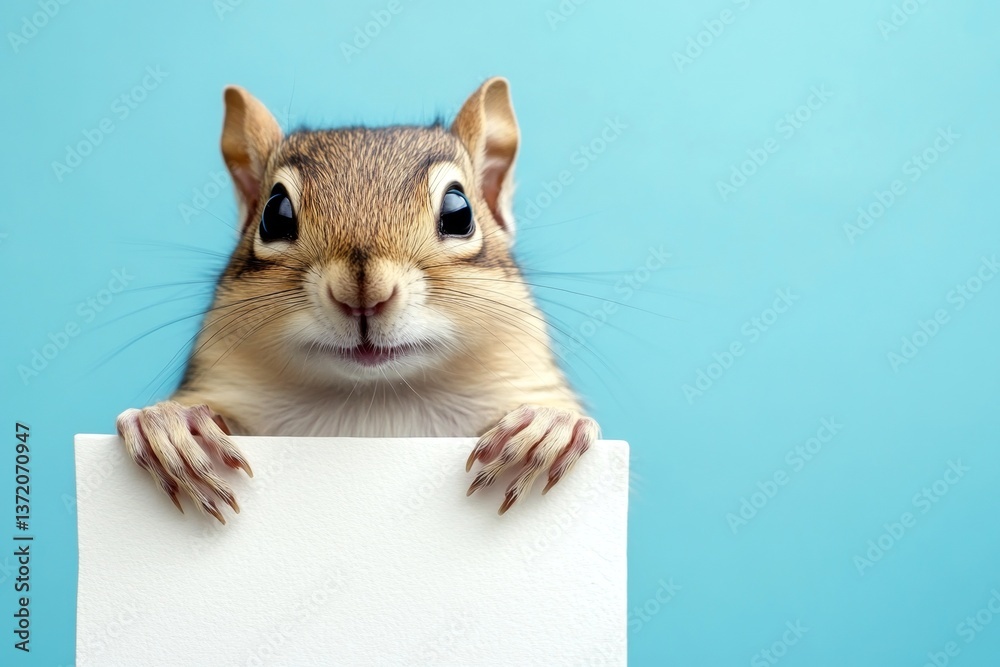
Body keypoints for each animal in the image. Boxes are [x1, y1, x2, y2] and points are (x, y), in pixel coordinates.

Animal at [115, 78, 600, 522]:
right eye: (275, 214)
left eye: (459, 212)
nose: (363, 293)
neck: (374, 397)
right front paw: (170, 424)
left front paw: (549, 423)